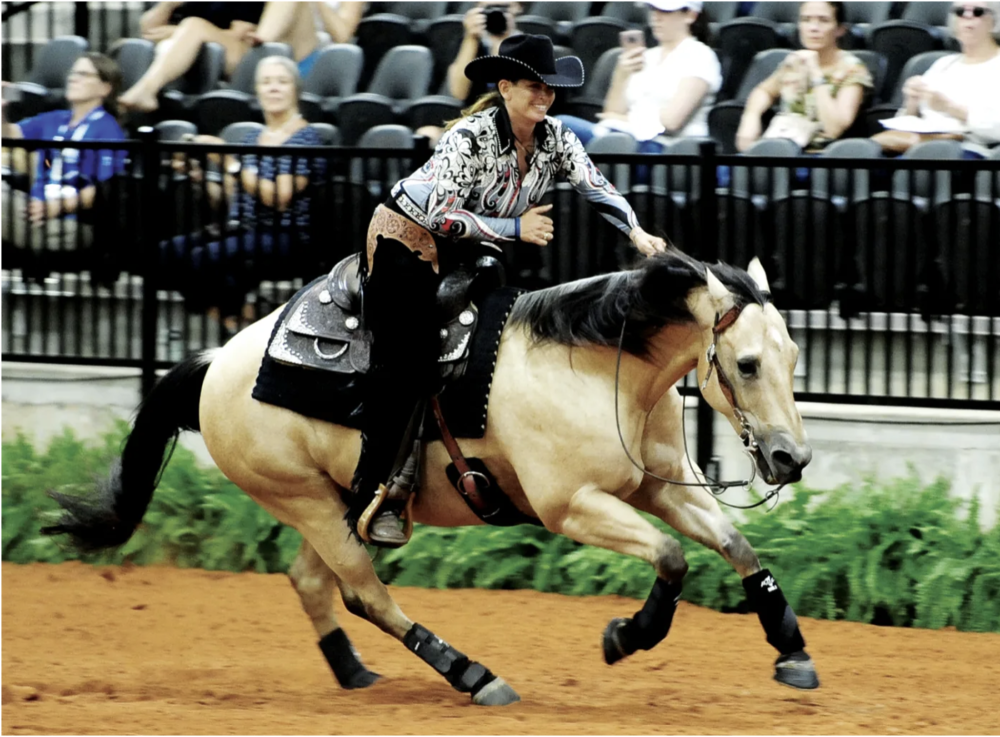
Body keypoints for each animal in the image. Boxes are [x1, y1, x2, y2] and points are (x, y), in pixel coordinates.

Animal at [43, 250, 818, 706]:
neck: (600, 370)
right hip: (303, 499)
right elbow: (672, 556)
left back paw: (353, 672)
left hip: (338, 501)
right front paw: (627, 635)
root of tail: (217, 362)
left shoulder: (656, 485)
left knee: (313, 582)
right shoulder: (574, 506)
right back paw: (474, 675)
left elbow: (736, 546)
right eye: (746, 363)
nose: (791, 459)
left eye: (794, 355)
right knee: (365, 593)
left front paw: (792, 649)